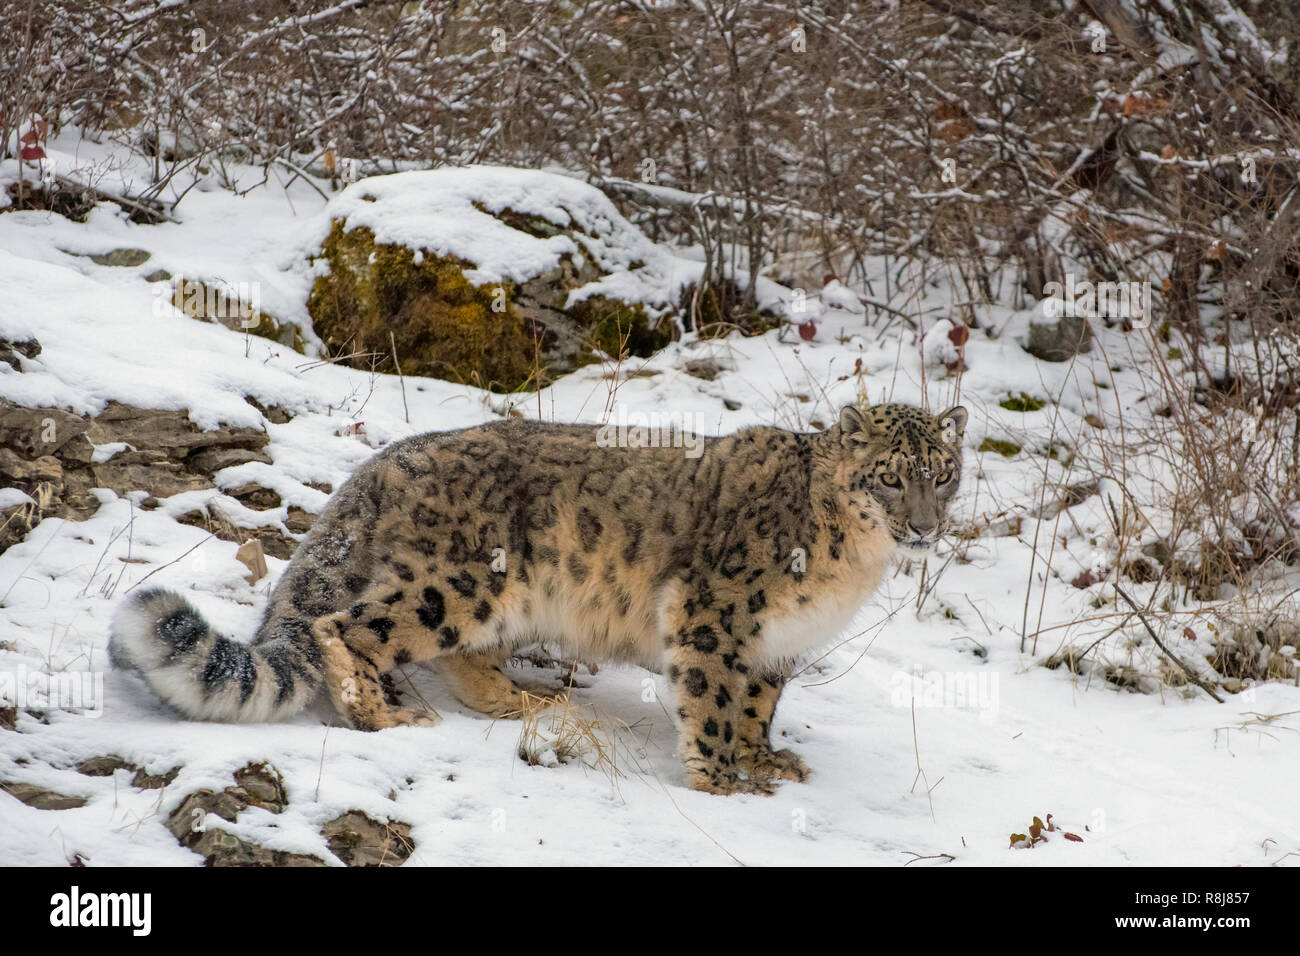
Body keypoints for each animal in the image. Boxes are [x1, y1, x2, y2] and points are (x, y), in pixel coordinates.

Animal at [110, 401, 967, 795]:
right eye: (891, 477)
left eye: (945, 473)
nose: (926, 526)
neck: (852, 567)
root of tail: (387, 460)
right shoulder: (715, 619)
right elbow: (716, 703)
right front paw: (723, 780)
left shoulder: (776, 645)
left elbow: (758, 704)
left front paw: (767, 760)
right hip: (455, 584)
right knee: (344, 625)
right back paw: (385, 713)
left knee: (464, 664)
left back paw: (526, 702)